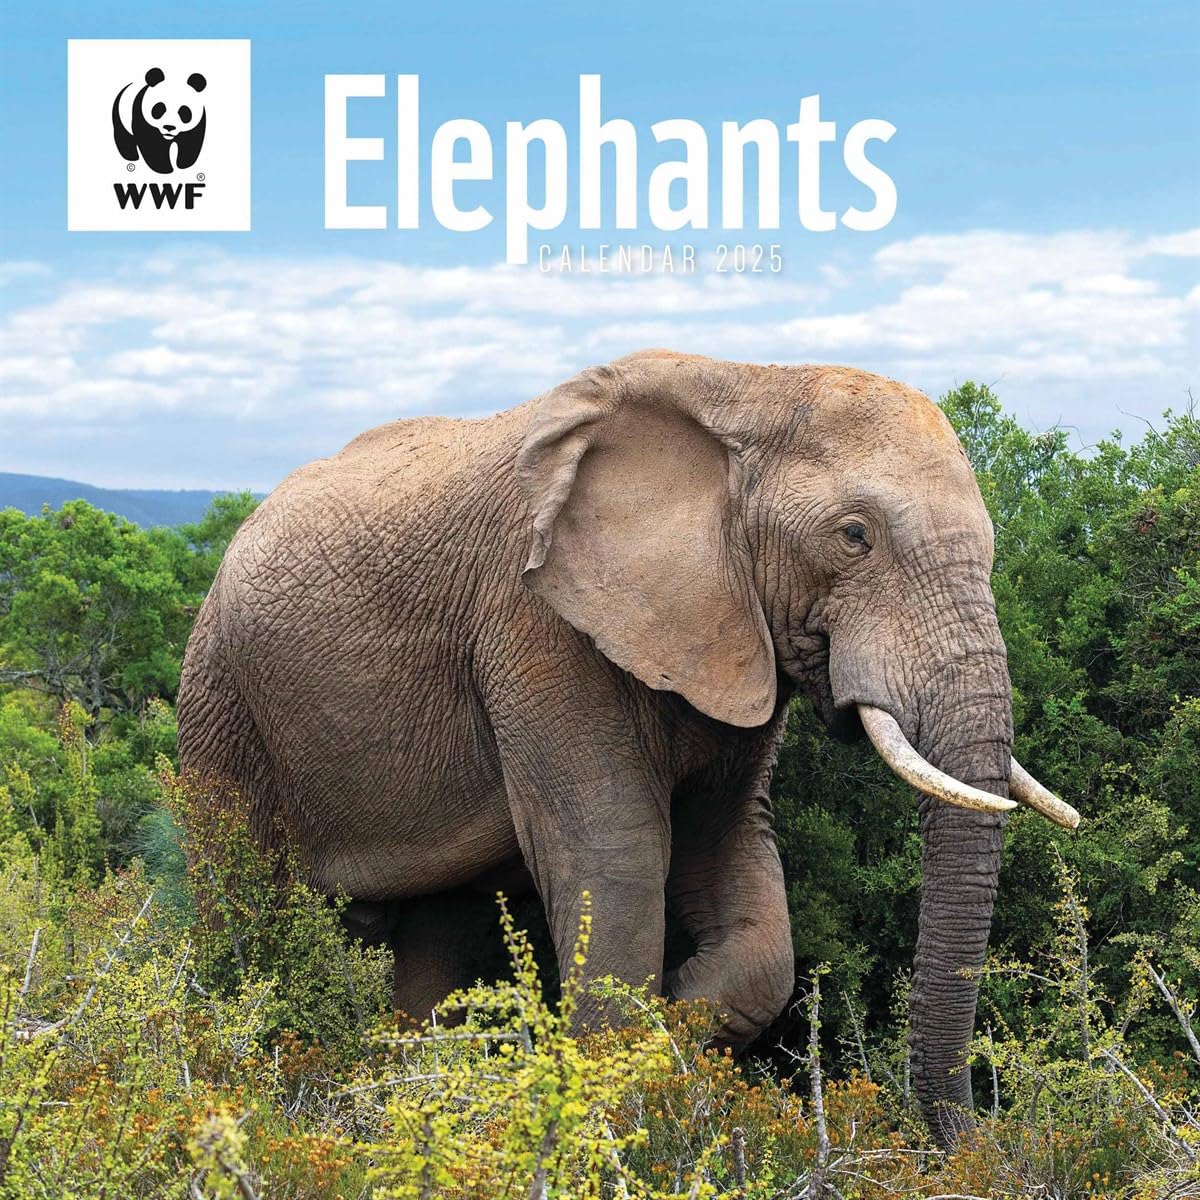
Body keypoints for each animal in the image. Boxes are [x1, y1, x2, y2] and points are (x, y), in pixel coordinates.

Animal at [176, 350, 1077, 1144]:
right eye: (854, 535)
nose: (968, 1142)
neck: (750, 388)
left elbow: (737, 864)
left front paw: (666, 1020)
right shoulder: (536, 622)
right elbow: (617, 854)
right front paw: (624, 1064)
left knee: (445, 929)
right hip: (218, 691)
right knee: (243, 906)